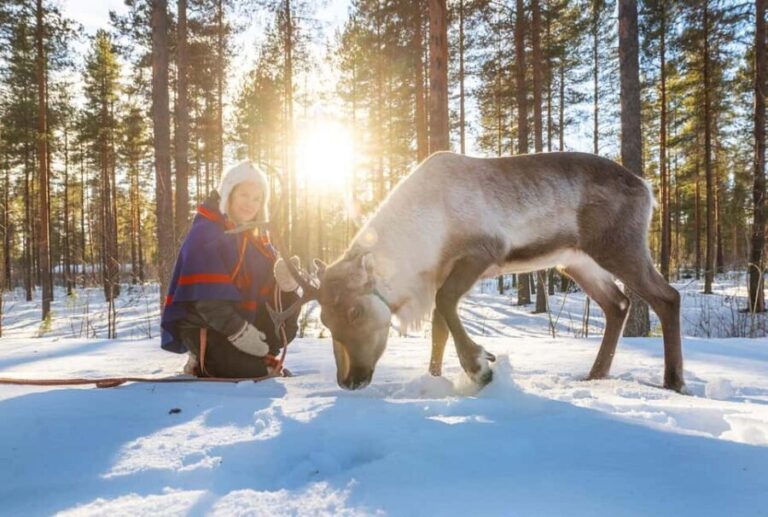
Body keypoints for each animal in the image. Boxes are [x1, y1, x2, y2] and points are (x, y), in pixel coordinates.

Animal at [271, 151, 686, 393]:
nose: (348, 381)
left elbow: (445, 305)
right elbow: (439, 326)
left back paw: (673, 381)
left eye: (355, 310)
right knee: (617, 304)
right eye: (326, 318)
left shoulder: (483, 251)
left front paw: (480, 366)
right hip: (576, 260)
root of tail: (648, 186)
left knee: (667, 296)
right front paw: (435, 377)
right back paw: (595, 376)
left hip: (619, 245)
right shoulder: (441, 272)